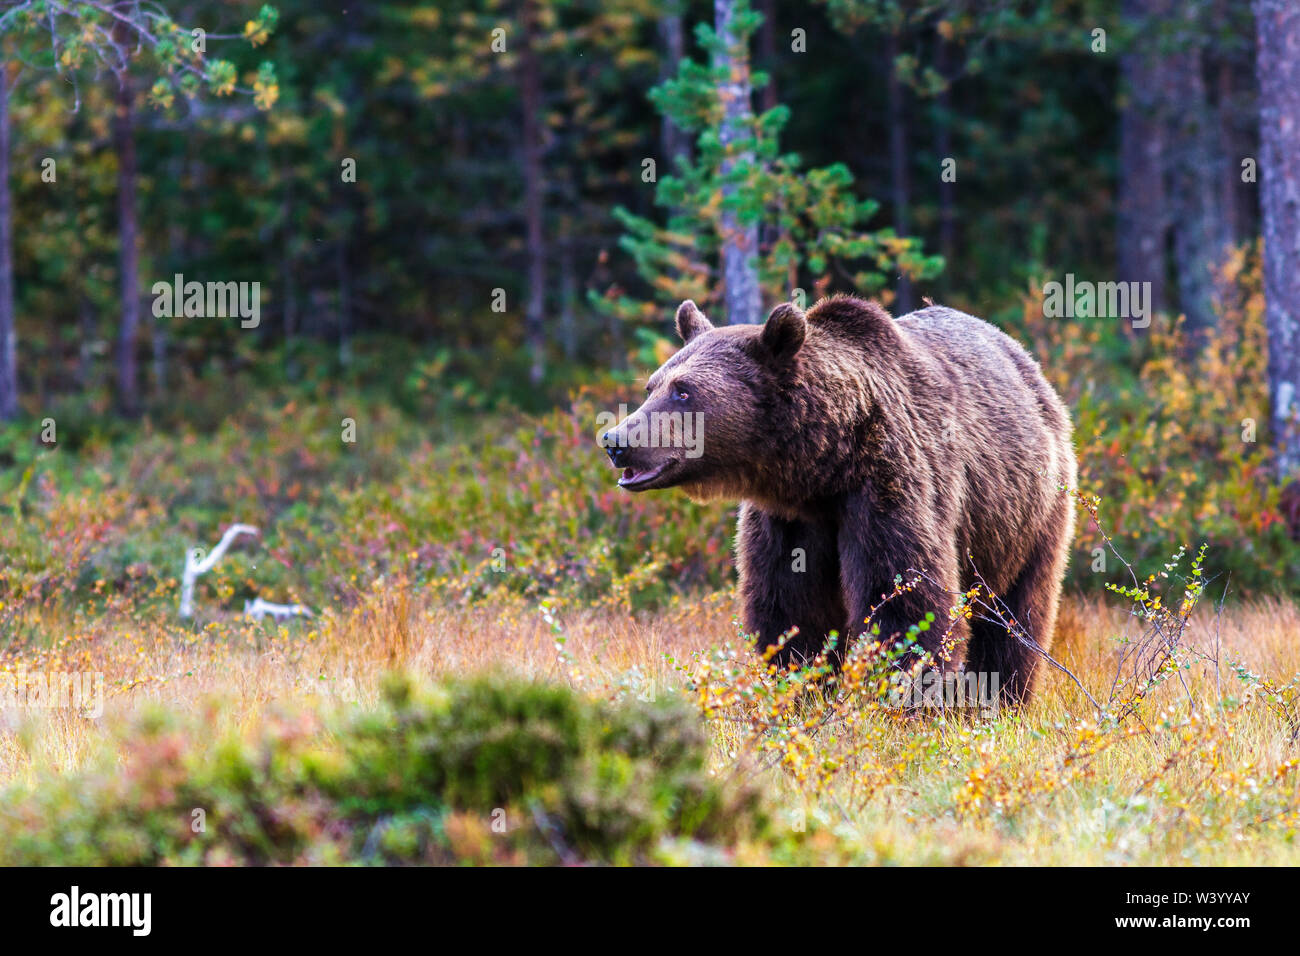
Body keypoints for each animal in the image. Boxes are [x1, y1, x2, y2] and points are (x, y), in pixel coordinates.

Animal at [600, 294, 1077, 706]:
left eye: (683, 391)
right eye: (652, 386)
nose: (616, 440)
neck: (825, 468)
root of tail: (1027, 365)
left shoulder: (889, 483)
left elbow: (905, 600)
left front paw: (906, 704)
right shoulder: (787, 521)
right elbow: (791, 610)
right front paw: (801, 692)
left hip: (1028, 515)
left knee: (1015, 618)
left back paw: (1003, 701)